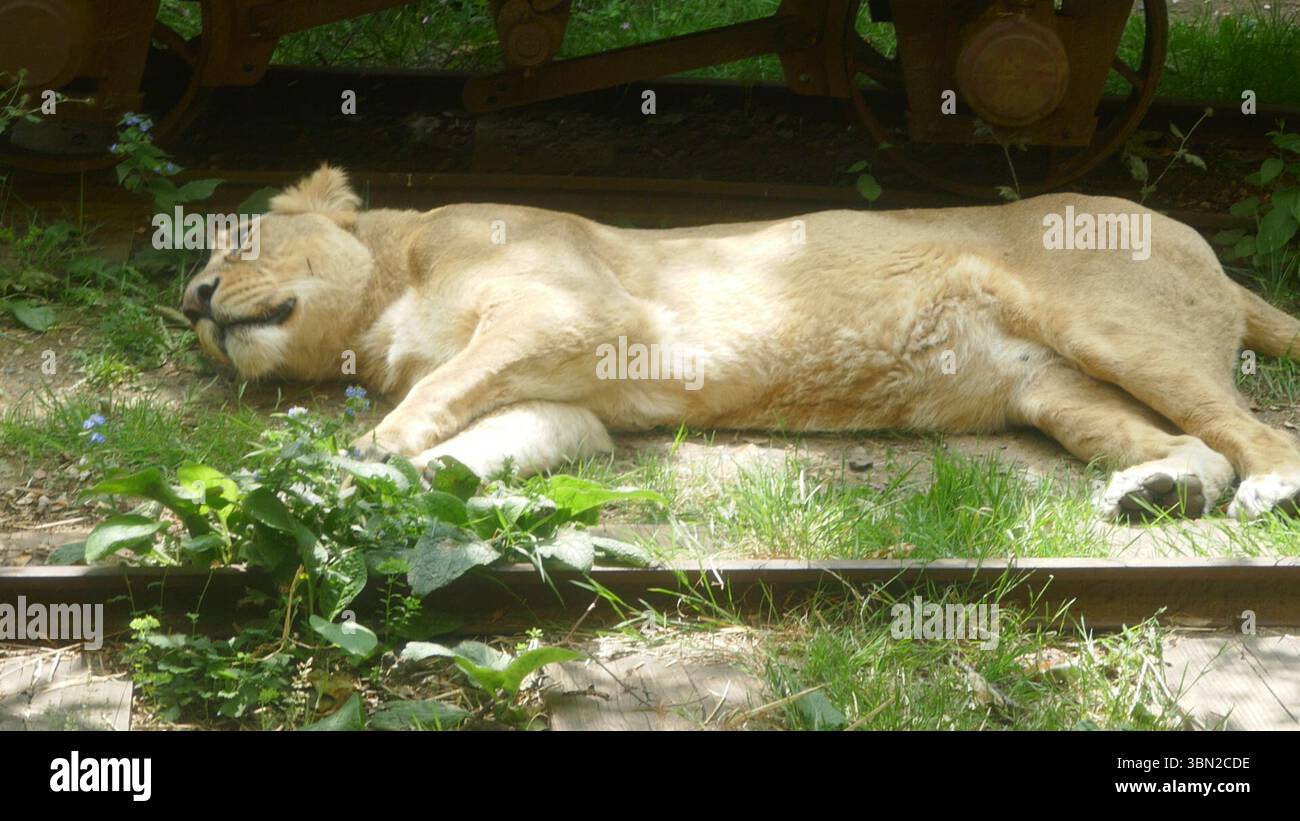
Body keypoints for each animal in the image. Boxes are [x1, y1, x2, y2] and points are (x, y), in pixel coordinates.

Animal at [181, 166, 1300, 520]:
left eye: (234, 241)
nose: (191, 299)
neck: (379, 307)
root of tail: (1198, 237)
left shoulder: (569, 309)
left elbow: (438, 389)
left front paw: (362, 451)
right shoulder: (567, 400)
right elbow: (480, 434)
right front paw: (374, 483)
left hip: (1109, 327)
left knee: (1257, 433)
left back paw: (1267, 490)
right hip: (1051, 387)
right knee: (1189, 441)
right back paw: (1158, 490)